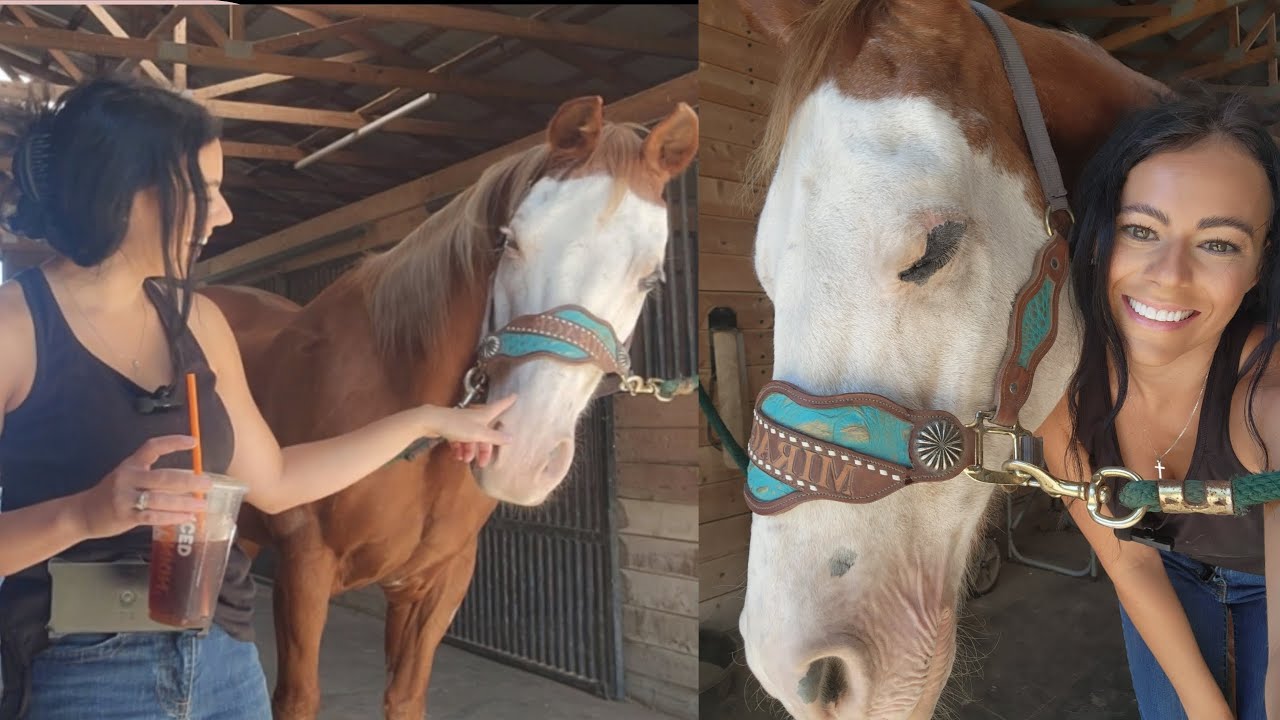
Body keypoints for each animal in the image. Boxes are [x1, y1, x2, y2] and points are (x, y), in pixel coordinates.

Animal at [199, 95, 698, 720]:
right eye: (511, 241)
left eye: (651, 279)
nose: (523, 455)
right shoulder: (304, 567)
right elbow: (298, 697)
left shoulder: (437, 580)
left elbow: (405, 696)